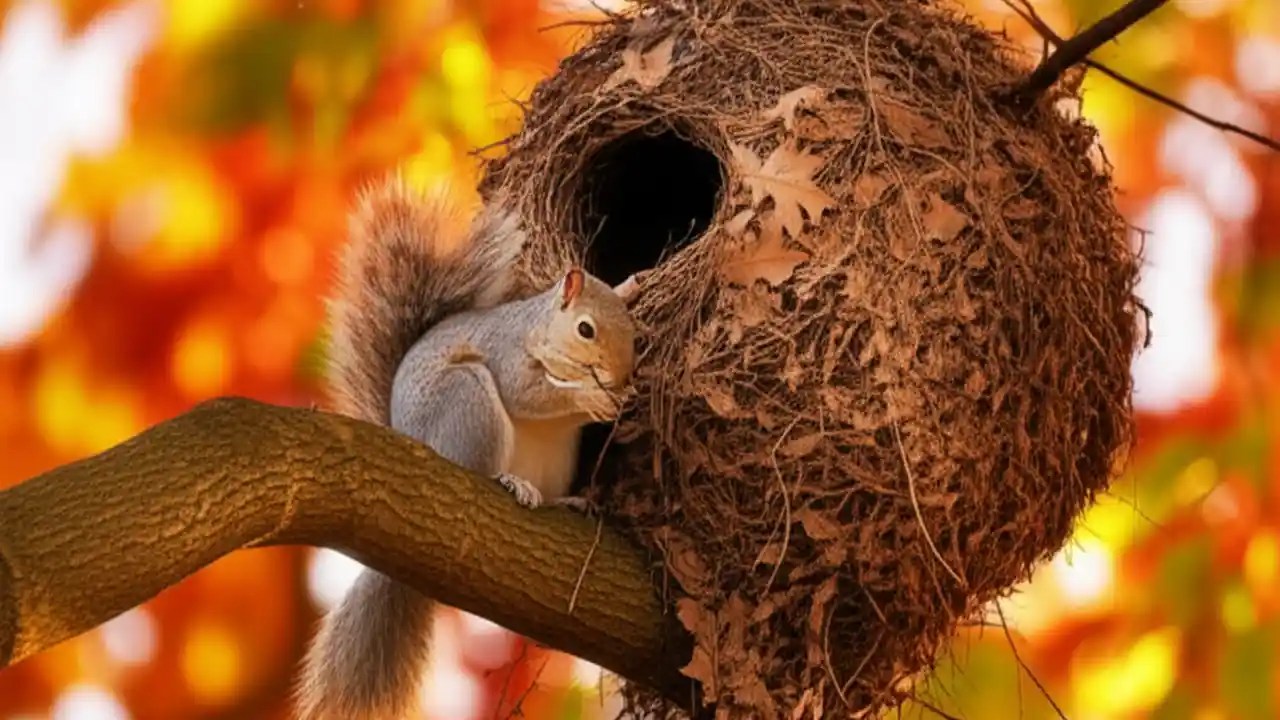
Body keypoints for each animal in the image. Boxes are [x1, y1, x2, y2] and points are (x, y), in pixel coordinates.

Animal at [295, 175, 643, 720]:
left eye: (633, 332)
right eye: (586, 329)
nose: (619, 377)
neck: (540, 330)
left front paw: (620, 405)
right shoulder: (506, 355)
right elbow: (530, 394)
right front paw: (590, 396)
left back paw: (566, 500)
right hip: (468, 401)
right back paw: (510, 482)